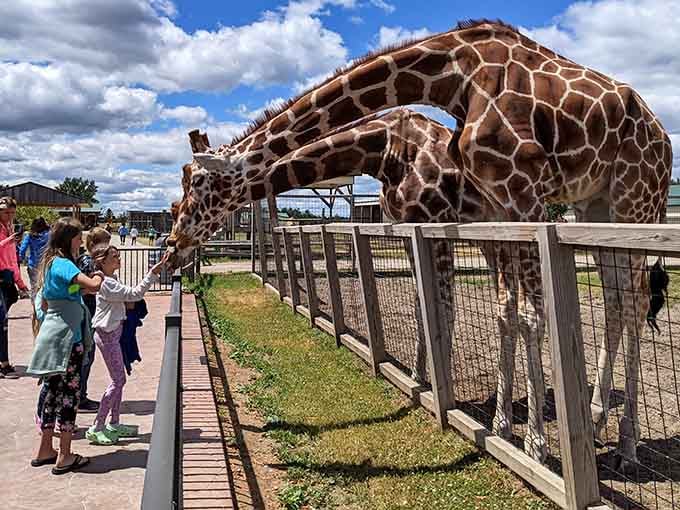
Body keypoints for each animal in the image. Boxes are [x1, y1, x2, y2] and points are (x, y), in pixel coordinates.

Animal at [168, 19, 673, 467]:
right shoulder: (480, 211)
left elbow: (510, 313)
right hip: (594, 206)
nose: (173, 246)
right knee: (614, 301)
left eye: (197, 188)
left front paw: (532, 444)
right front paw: (462, 405)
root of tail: (664, 138)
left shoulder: (515, 197)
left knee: (633, 301)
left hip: (635, 201)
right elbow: (453, 306)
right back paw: (596, 417)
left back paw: (626, 445)